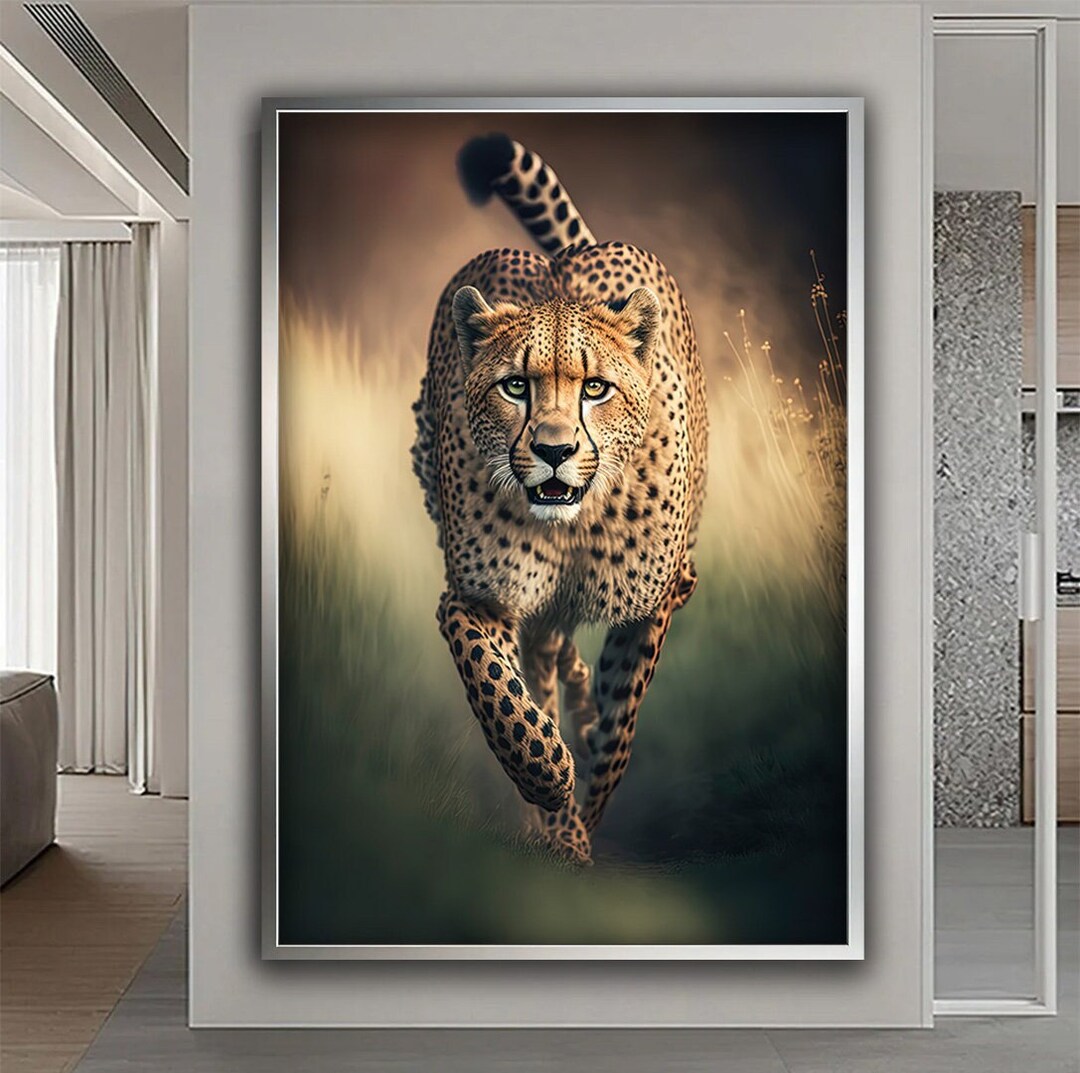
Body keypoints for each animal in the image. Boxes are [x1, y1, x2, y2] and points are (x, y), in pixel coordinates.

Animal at [412, 133, 707, 865]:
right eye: (515, 386)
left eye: (595, 388)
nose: (553, 450)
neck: (570, 524)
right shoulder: (473, 597)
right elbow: (498, 692)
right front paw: (547, 780)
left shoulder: (657, 597)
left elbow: (622, 719)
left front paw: (585, 802)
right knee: (547, 654)